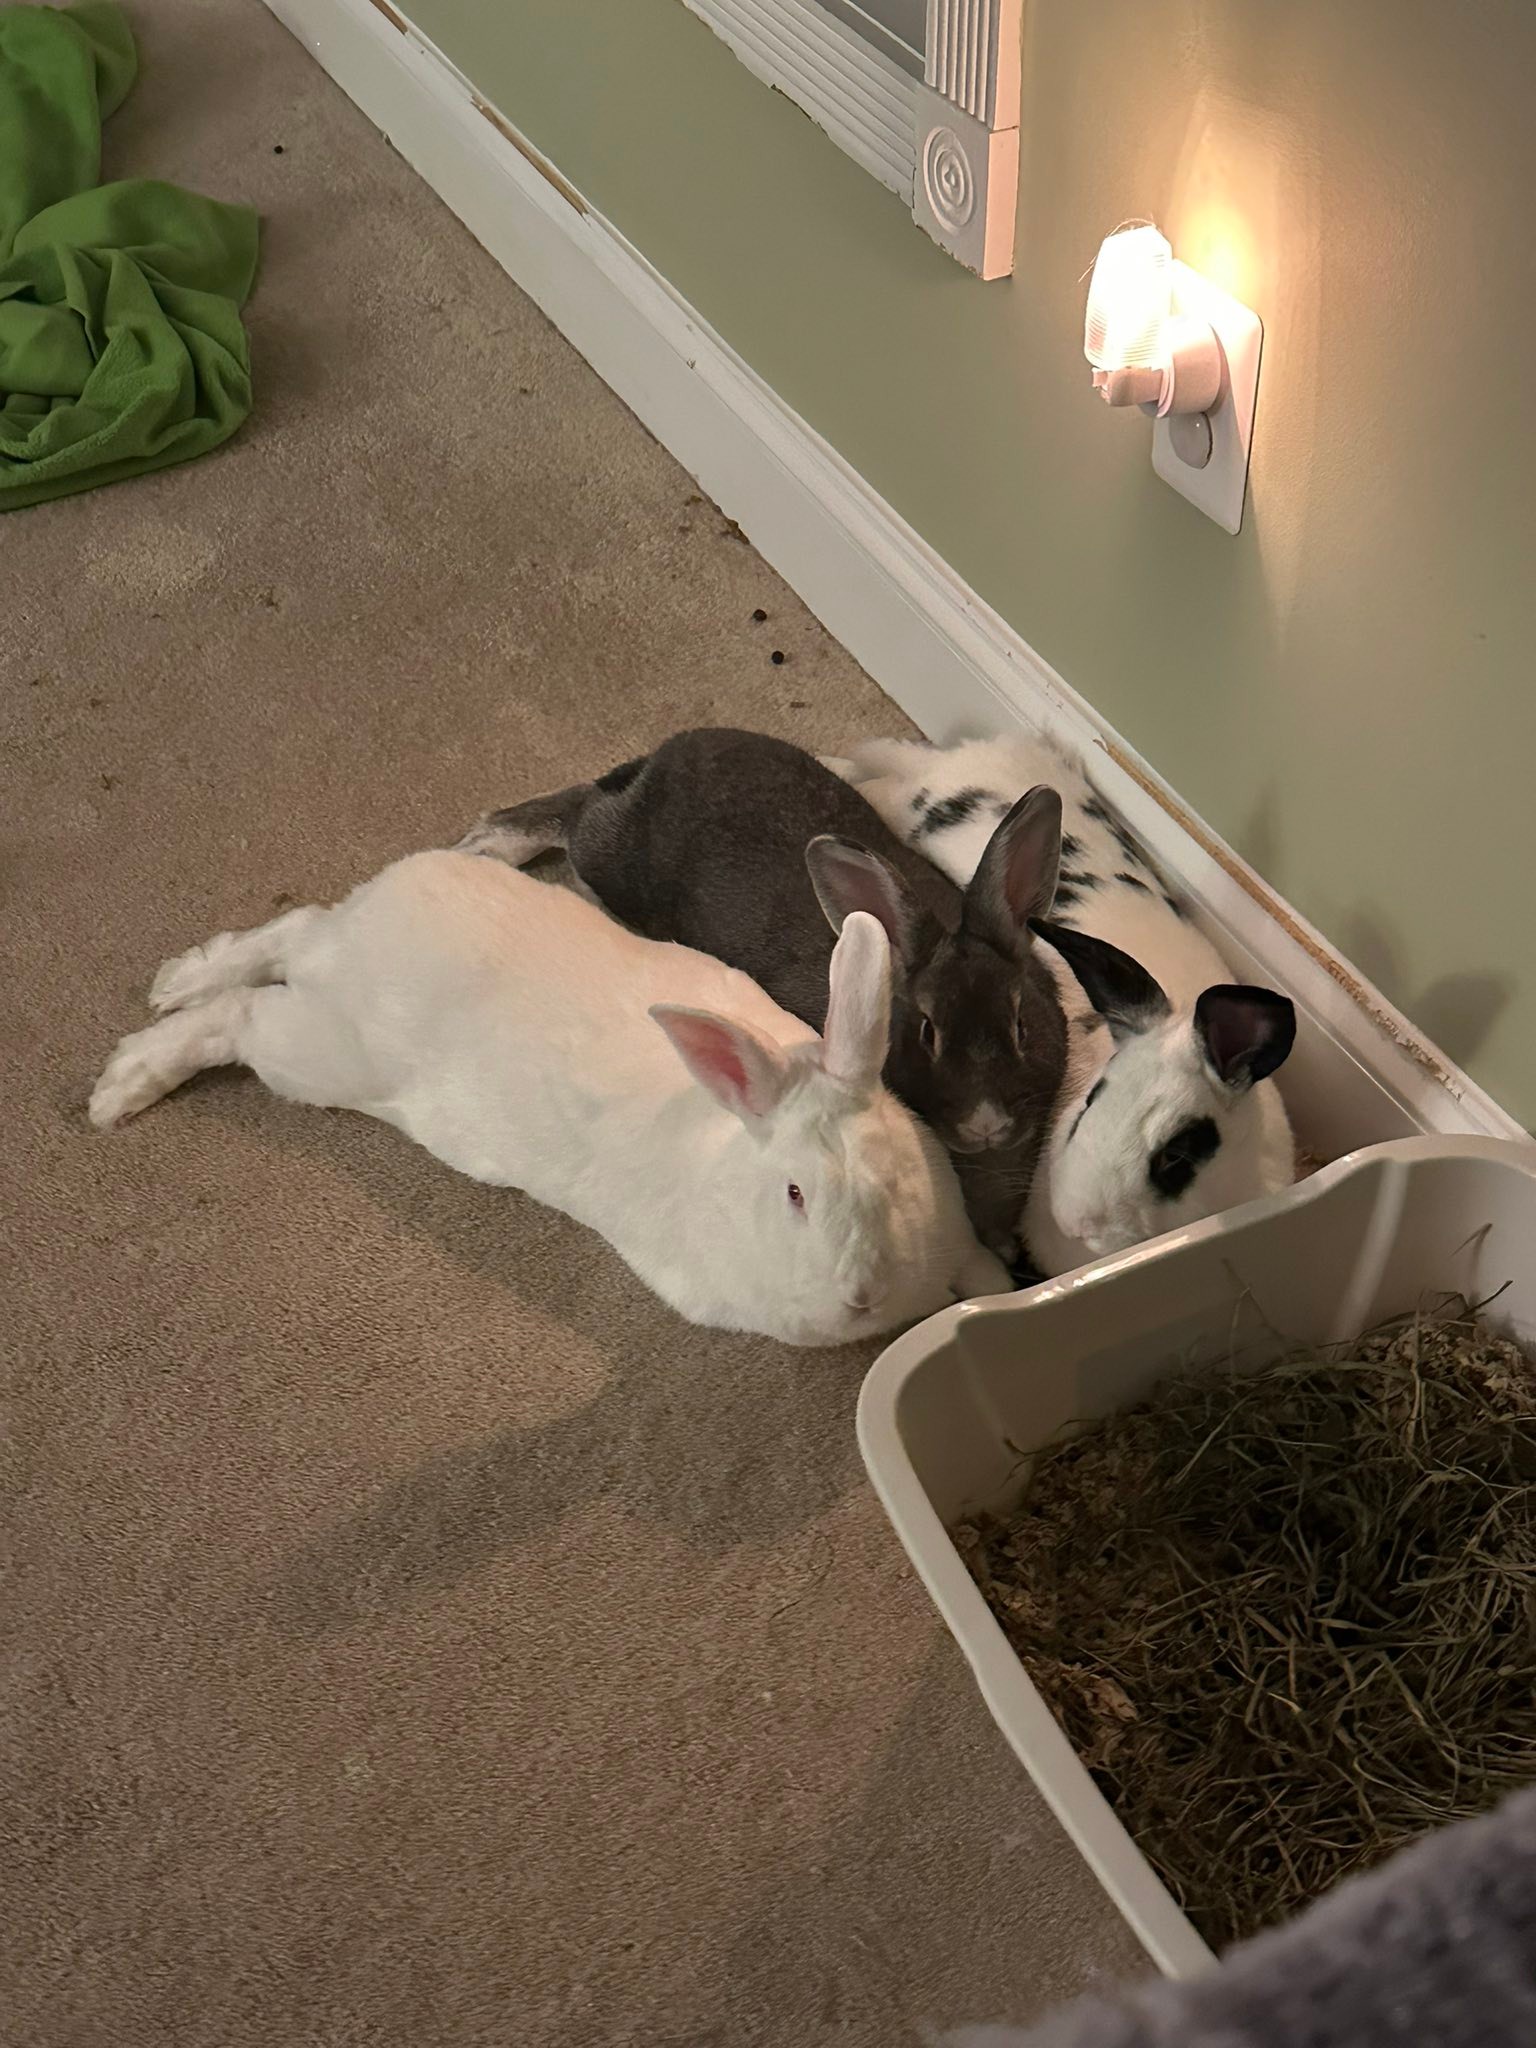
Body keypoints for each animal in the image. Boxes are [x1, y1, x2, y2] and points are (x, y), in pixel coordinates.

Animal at [88, 851, 1012, 1347]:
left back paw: (174, 981)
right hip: (319, 1056)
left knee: (289, 931)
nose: (860, 1293)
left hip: (322, 975)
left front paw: (998, 1289)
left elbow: (984, 1272)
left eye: (892, 1180)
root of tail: (348, 951)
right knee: (242, 1018)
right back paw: (123, 1083)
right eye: (793, 1194)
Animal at [456, 728, 1068, 1259]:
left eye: (1022, 1024)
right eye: (926, 1031)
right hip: (614, 861)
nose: (984, 1125)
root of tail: (665, 757)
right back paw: (482, 848)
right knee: (575, 812)